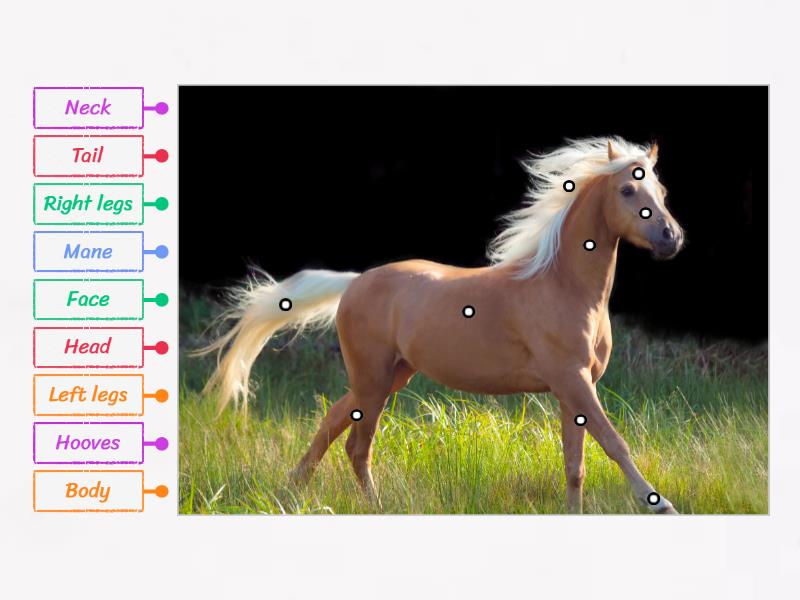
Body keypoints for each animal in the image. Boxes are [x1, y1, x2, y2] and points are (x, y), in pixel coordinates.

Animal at [196, 137, 685, 514]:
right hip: (374, 379)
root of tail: (354, 282)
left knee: (335, 422)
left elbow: (575, 463)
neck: (562, 285)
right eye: (628, 189)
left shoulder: (575, 388)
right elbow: (614, 443)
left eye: (660, 189)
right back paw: (370, 505)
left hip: (392, 375)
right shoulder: (572, 380)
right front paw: (660, 504)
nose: (672, 239)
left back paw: (294, 488)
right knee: (356, 442)